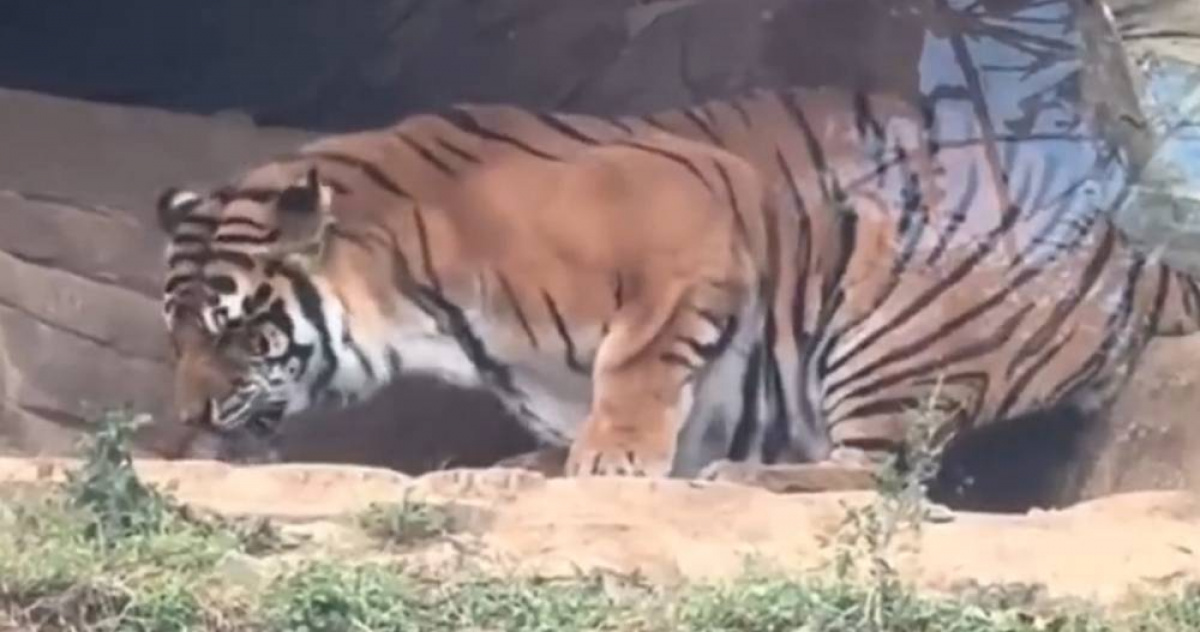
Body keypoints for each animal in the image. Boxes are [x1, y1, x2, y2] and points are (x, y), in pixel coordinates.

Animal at [154, 84, 1200, 491]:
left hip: (890, 325)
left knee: (875, 477)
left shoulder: (684, 234)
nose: (192, 420)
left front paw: (612, 459)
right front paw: (523, 464)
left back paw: (753, 476)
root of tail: (1129, 251)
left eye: (239, 330)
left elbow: (639, 369)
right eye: (178, 336)